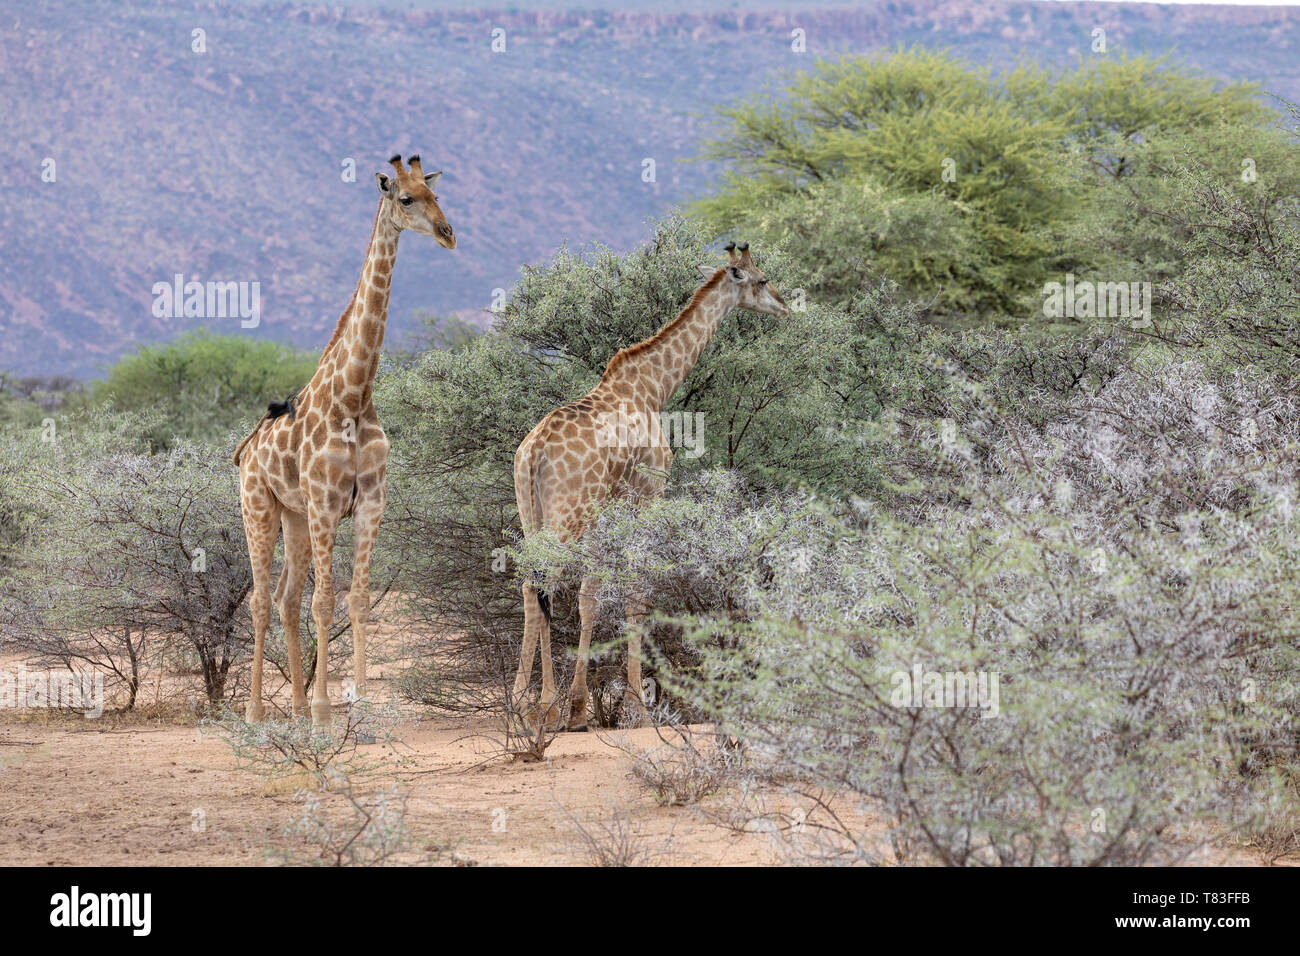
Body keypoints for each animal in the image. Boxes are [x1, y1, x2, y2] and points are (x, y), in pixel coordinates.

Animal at [232, 154, 456, 729]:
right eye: (405, 198)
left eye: (437, 195)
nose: (448, 234)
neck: (354, 397)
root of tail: (245, 450)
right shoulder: (327, 503)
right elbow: (325, 602)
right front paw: (325, 710)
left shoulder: (371, 501)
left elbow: (356, 600)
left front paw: (359, 702)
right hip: (259, 508)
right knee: (261, 601)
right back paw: (258, 713)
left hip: (293, 516)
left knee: (286, 599)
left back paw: (291, 707)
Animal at [511, 242, 789, 731]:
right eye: (762, 279)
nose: (786, 306)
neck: (655, 387)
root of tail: (535, 449)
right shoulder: (648, 495)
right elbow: (635, 595)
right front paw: (633, 707)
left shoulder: (609, 509)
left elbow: (592, 595)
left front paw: (582, 706)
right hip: (567, 514)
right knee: (541, 584)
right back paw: (541, 706)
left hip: (533, 514)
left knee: (532, 587)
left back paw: (523, 704)